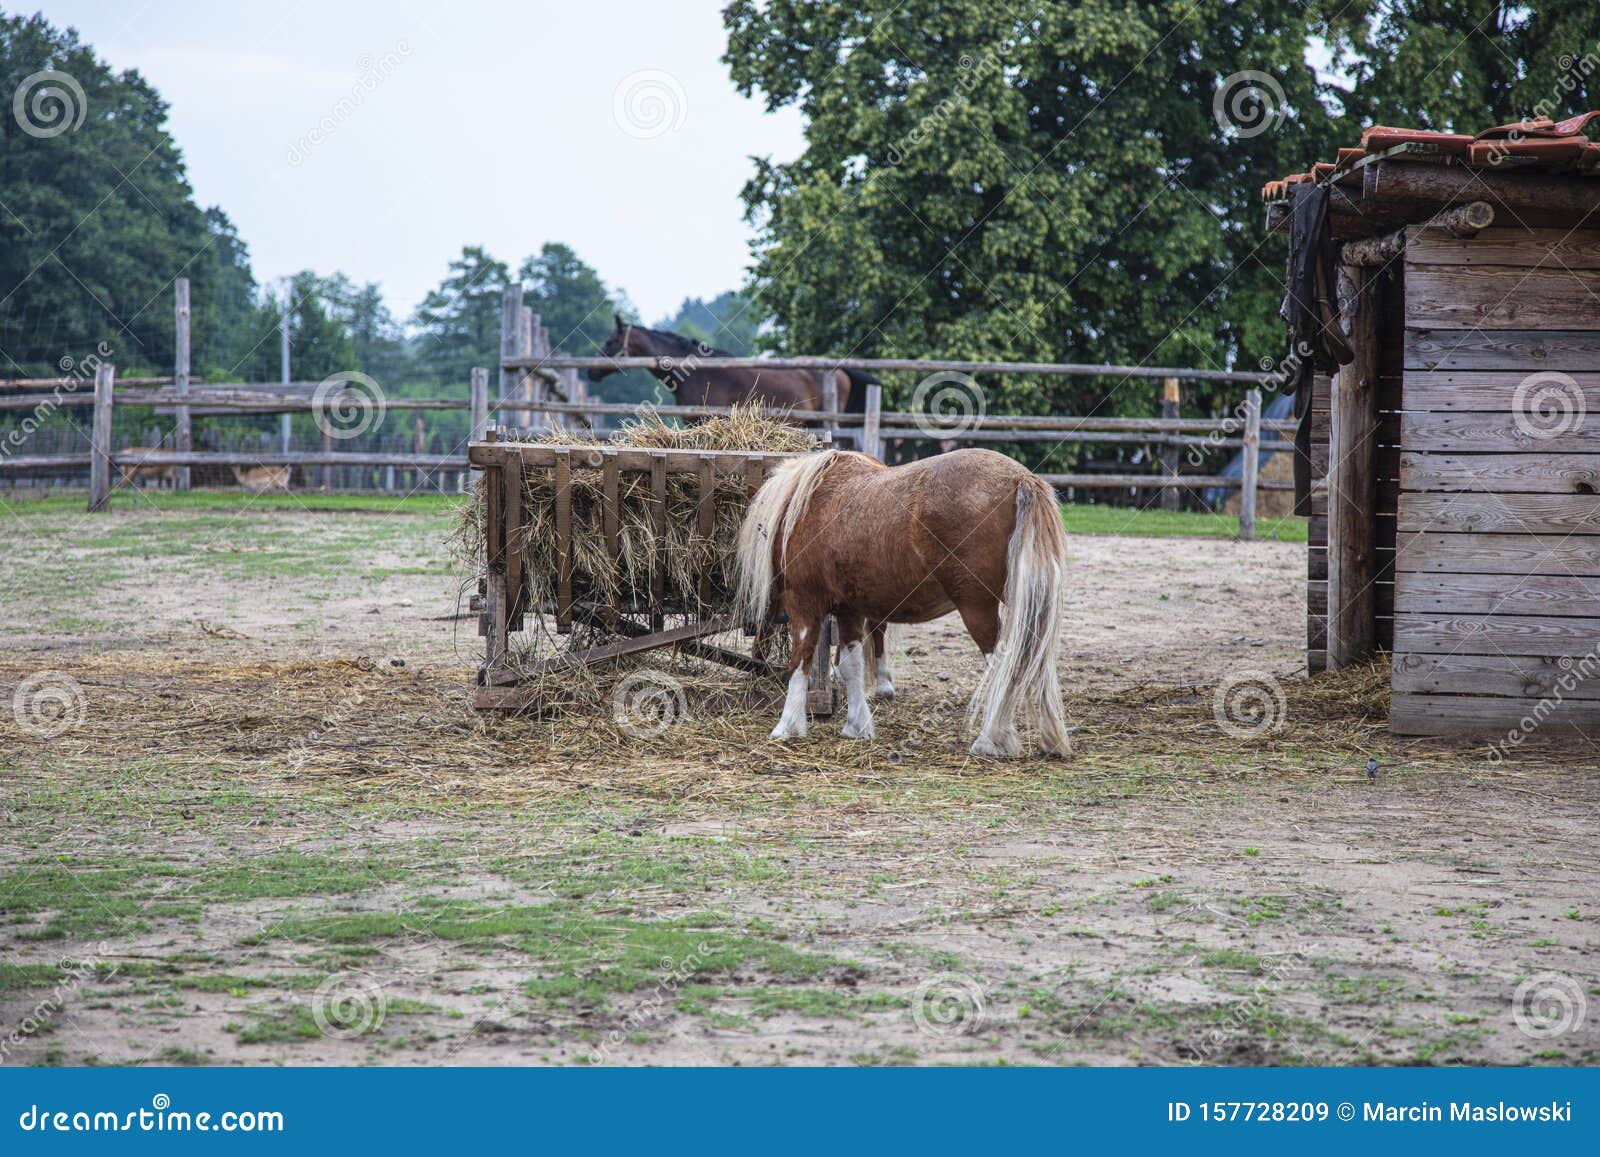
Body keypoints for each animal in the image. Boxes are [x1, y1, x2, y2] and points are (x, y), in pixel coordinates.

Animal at [734, 448, 1071, 758]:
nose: (765, 617)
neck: (809, 507)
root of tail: (1020, 478)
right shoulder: (848, 611)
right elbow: (850, 665)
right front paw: (857, 726)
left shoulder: (806, 605)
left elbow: (799, 662)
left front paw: (787, 726)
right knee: (1033, 662)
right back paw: (1048, 738)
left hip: (978, 609)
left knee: (1004, 665)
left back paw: (990, 739)